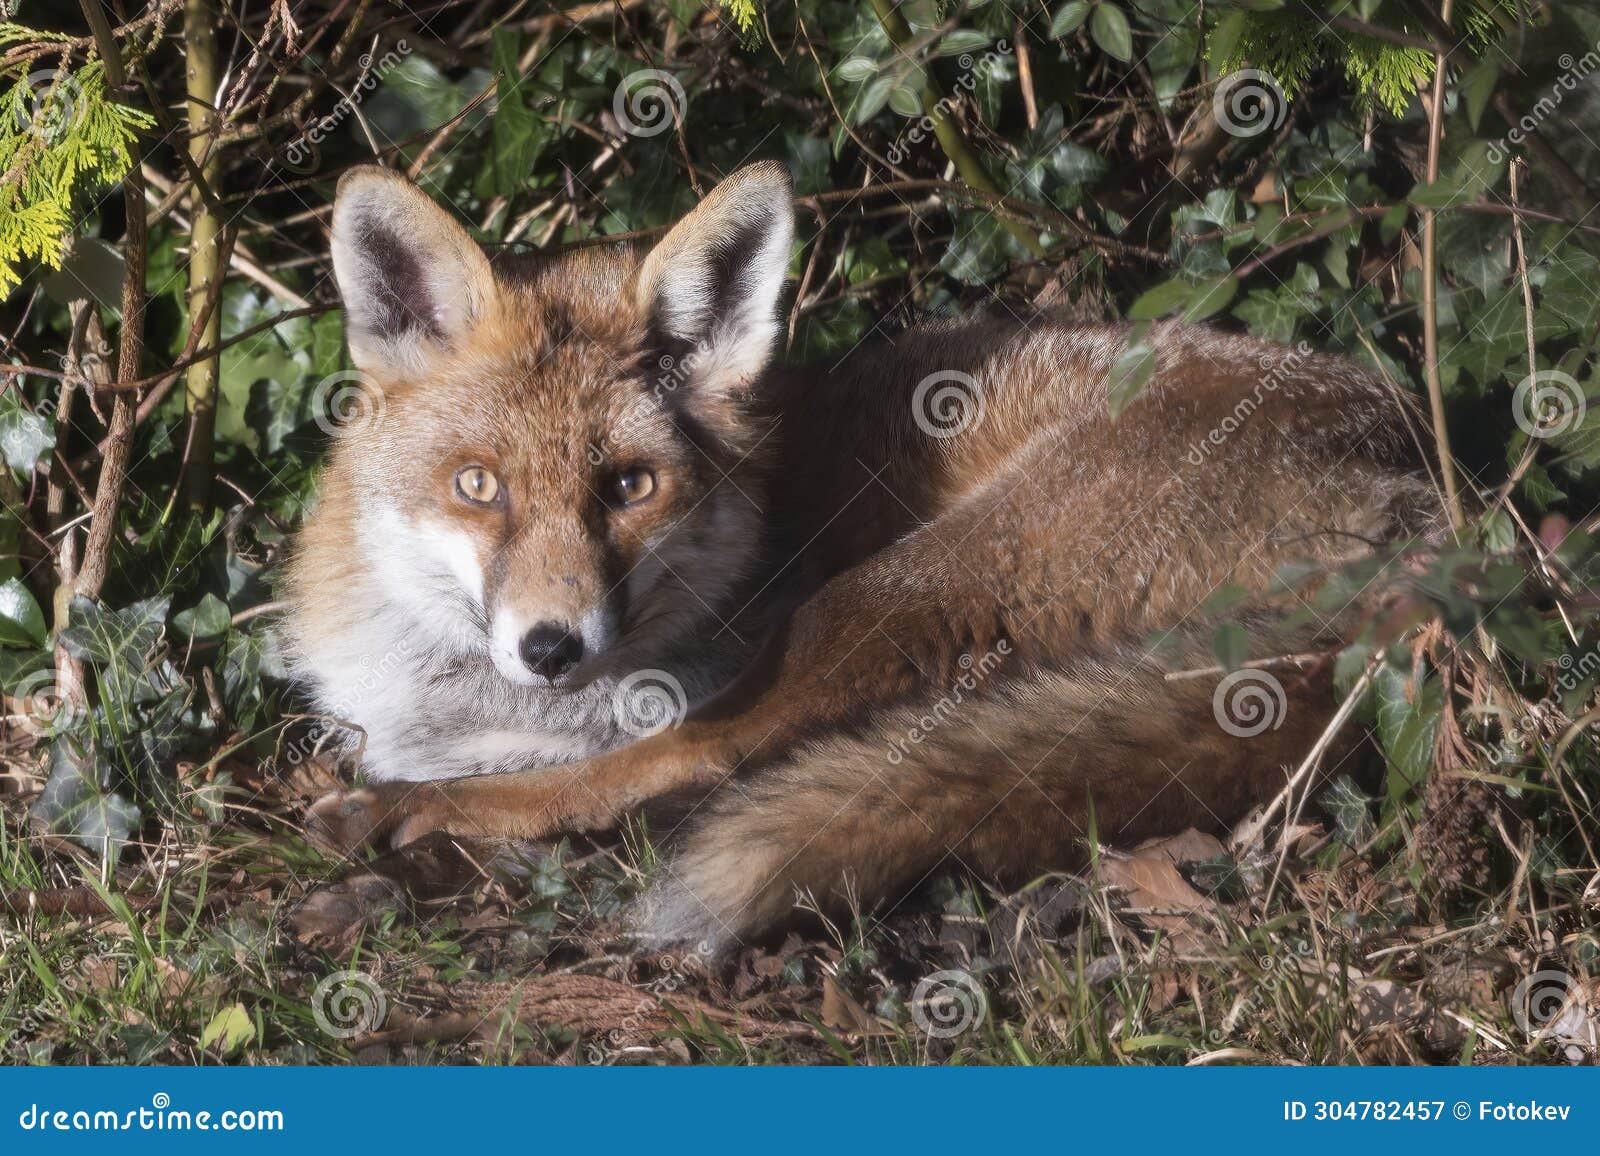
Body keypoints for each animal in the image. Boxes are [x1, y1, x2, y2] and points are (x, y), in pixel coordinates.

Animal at [286, 160, 1441, 951]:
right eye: (479, 485)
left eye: (629, 486)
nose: (552, 647)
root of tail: (1430, 499)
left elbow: (619, 763)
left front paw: (436, 817)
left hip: (911, 587)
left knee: (710, 763)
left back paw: (413, 830)